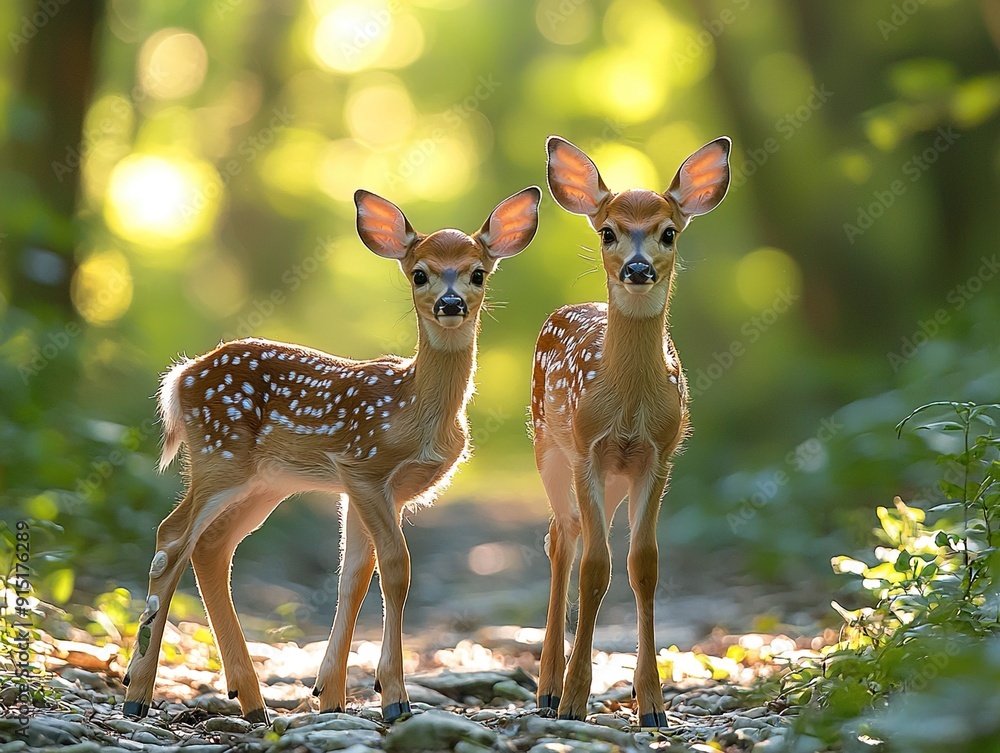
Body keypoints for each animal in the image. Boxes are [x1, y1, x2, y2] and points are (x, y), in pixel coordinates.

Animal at [122, 186, 541, 724]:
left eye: (478, 273)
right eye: (419, 272)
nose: (451, 304)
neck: (415, 409)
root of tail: (179, 377)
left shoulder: (366, 488)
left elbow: (354, 576)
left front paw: (332, 696)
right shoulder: (365, 467)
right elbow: (396, 568)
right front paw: (393, 698)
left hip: (267, 481)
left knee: (211, 547)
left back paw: (252, 701)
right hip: (220, 455)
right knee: (172, 537)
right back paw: (137, 694)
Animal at [531, 135, 730, 727]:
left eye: (668, 231)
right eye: (608, 231)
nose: (638, 269)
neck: (629, 406)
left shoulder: (658, 455)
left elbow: (643, 565)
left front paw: (654, 706)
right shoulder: (586, 451)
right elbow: (596, 569)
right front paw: (575, 700)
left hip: (613, 477)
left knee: (570, 535)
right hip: (547, 447)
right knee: (562, 540)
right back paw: (547, 691)